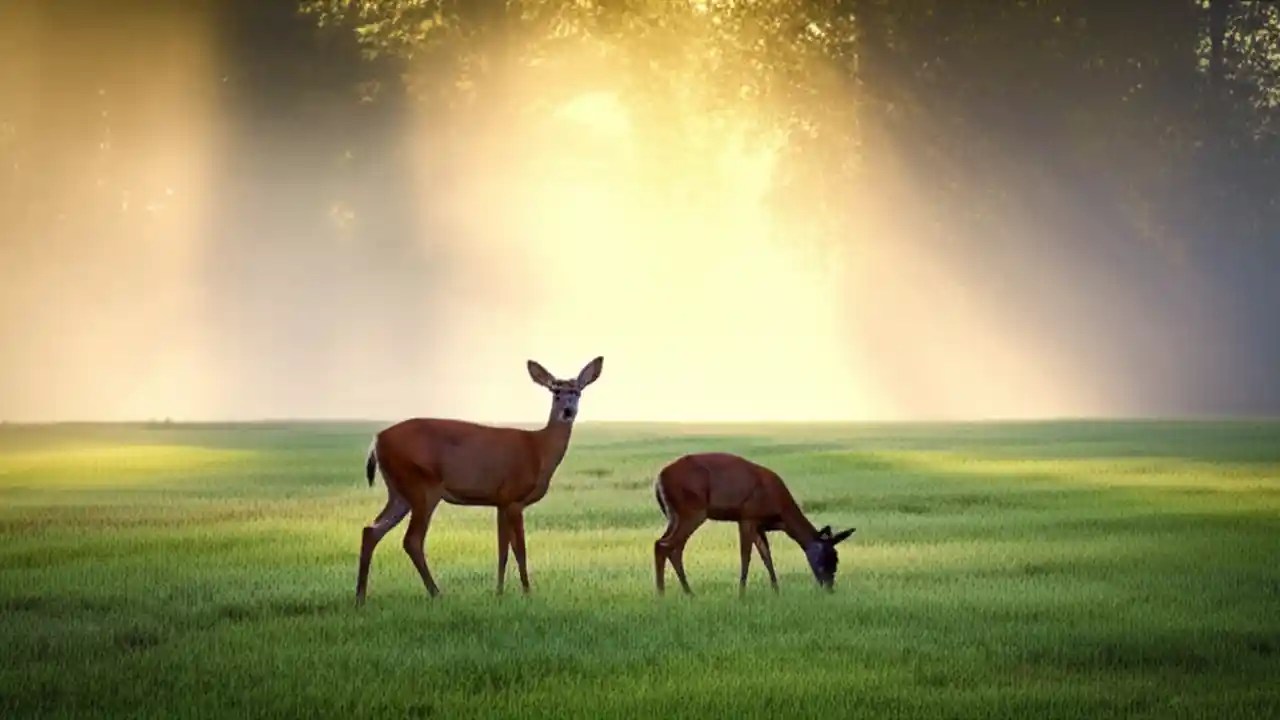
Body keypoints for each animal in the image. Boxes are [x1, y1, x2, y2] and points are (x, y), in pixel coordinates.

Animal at [355, 356, 603, 604]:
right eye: (556, 392)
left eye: (577, 392)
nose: (568, 411)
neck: (540, 450)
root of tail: (377, 440)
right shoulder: (514, 498)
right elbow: (520, 550)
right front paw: (527, 591)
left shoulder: (501, 501)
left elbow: (503, 550)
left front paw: (499, 592)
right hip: (421, 486)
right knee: (411, 540)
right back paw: (436, 593)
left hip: (400, 492)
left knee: (370, 531)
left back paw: (360, 597)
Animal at [654, 452, 856, 595]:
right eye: (827, 557)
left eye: (836, 559)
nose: (829, 587)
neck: (780, 514)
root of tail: (658, 479)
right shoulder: (747, 516)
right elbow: (746, 556)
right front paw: (741, 594)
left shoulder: (759, 524)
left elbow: (766, 556)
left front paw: (776, 591)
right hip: (692, 510)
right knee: (664, 545)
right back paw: (662, 594)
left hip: (675, 515)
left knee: (671, 547)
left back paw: (687, 592)